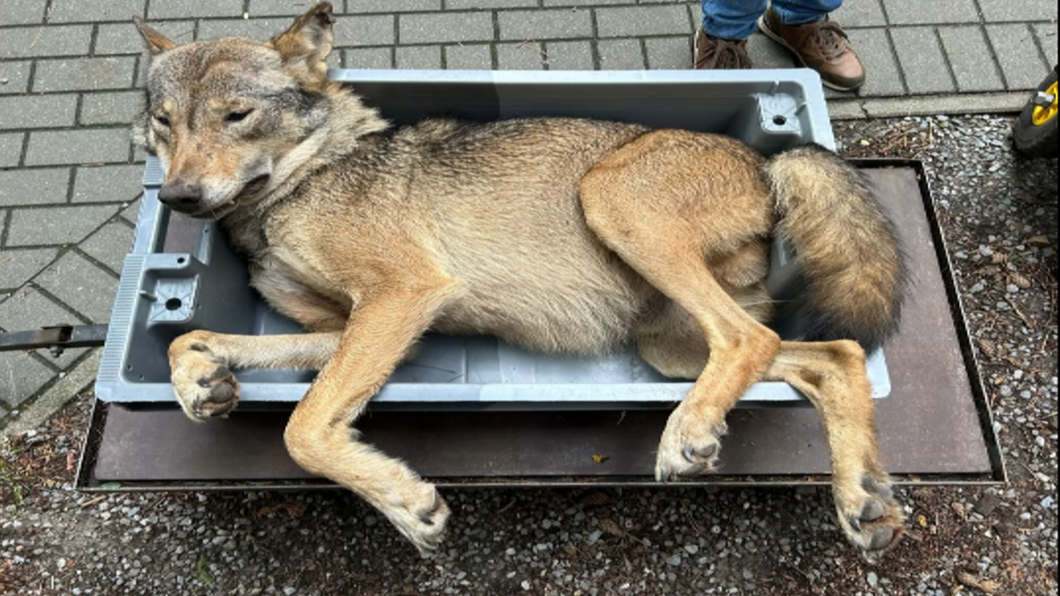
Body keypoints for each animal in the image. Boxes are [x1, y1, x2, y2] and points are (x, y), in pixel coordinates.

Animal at [132, 2, 908, 559]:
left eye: (237, 116)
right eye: (163, 124)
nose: (176, 198)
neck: (302, 181)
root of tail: (766, 156)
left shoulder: (400, 297)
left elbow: (303, 429)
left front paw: (404, 504)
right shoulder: (350, 330)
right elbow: (190, 341)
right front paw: (201, 380)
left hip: (614, 205)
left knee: (750, 339)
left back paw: (689, 434)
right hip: (670, 348)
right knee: (830, 356)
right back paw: (863, 499)